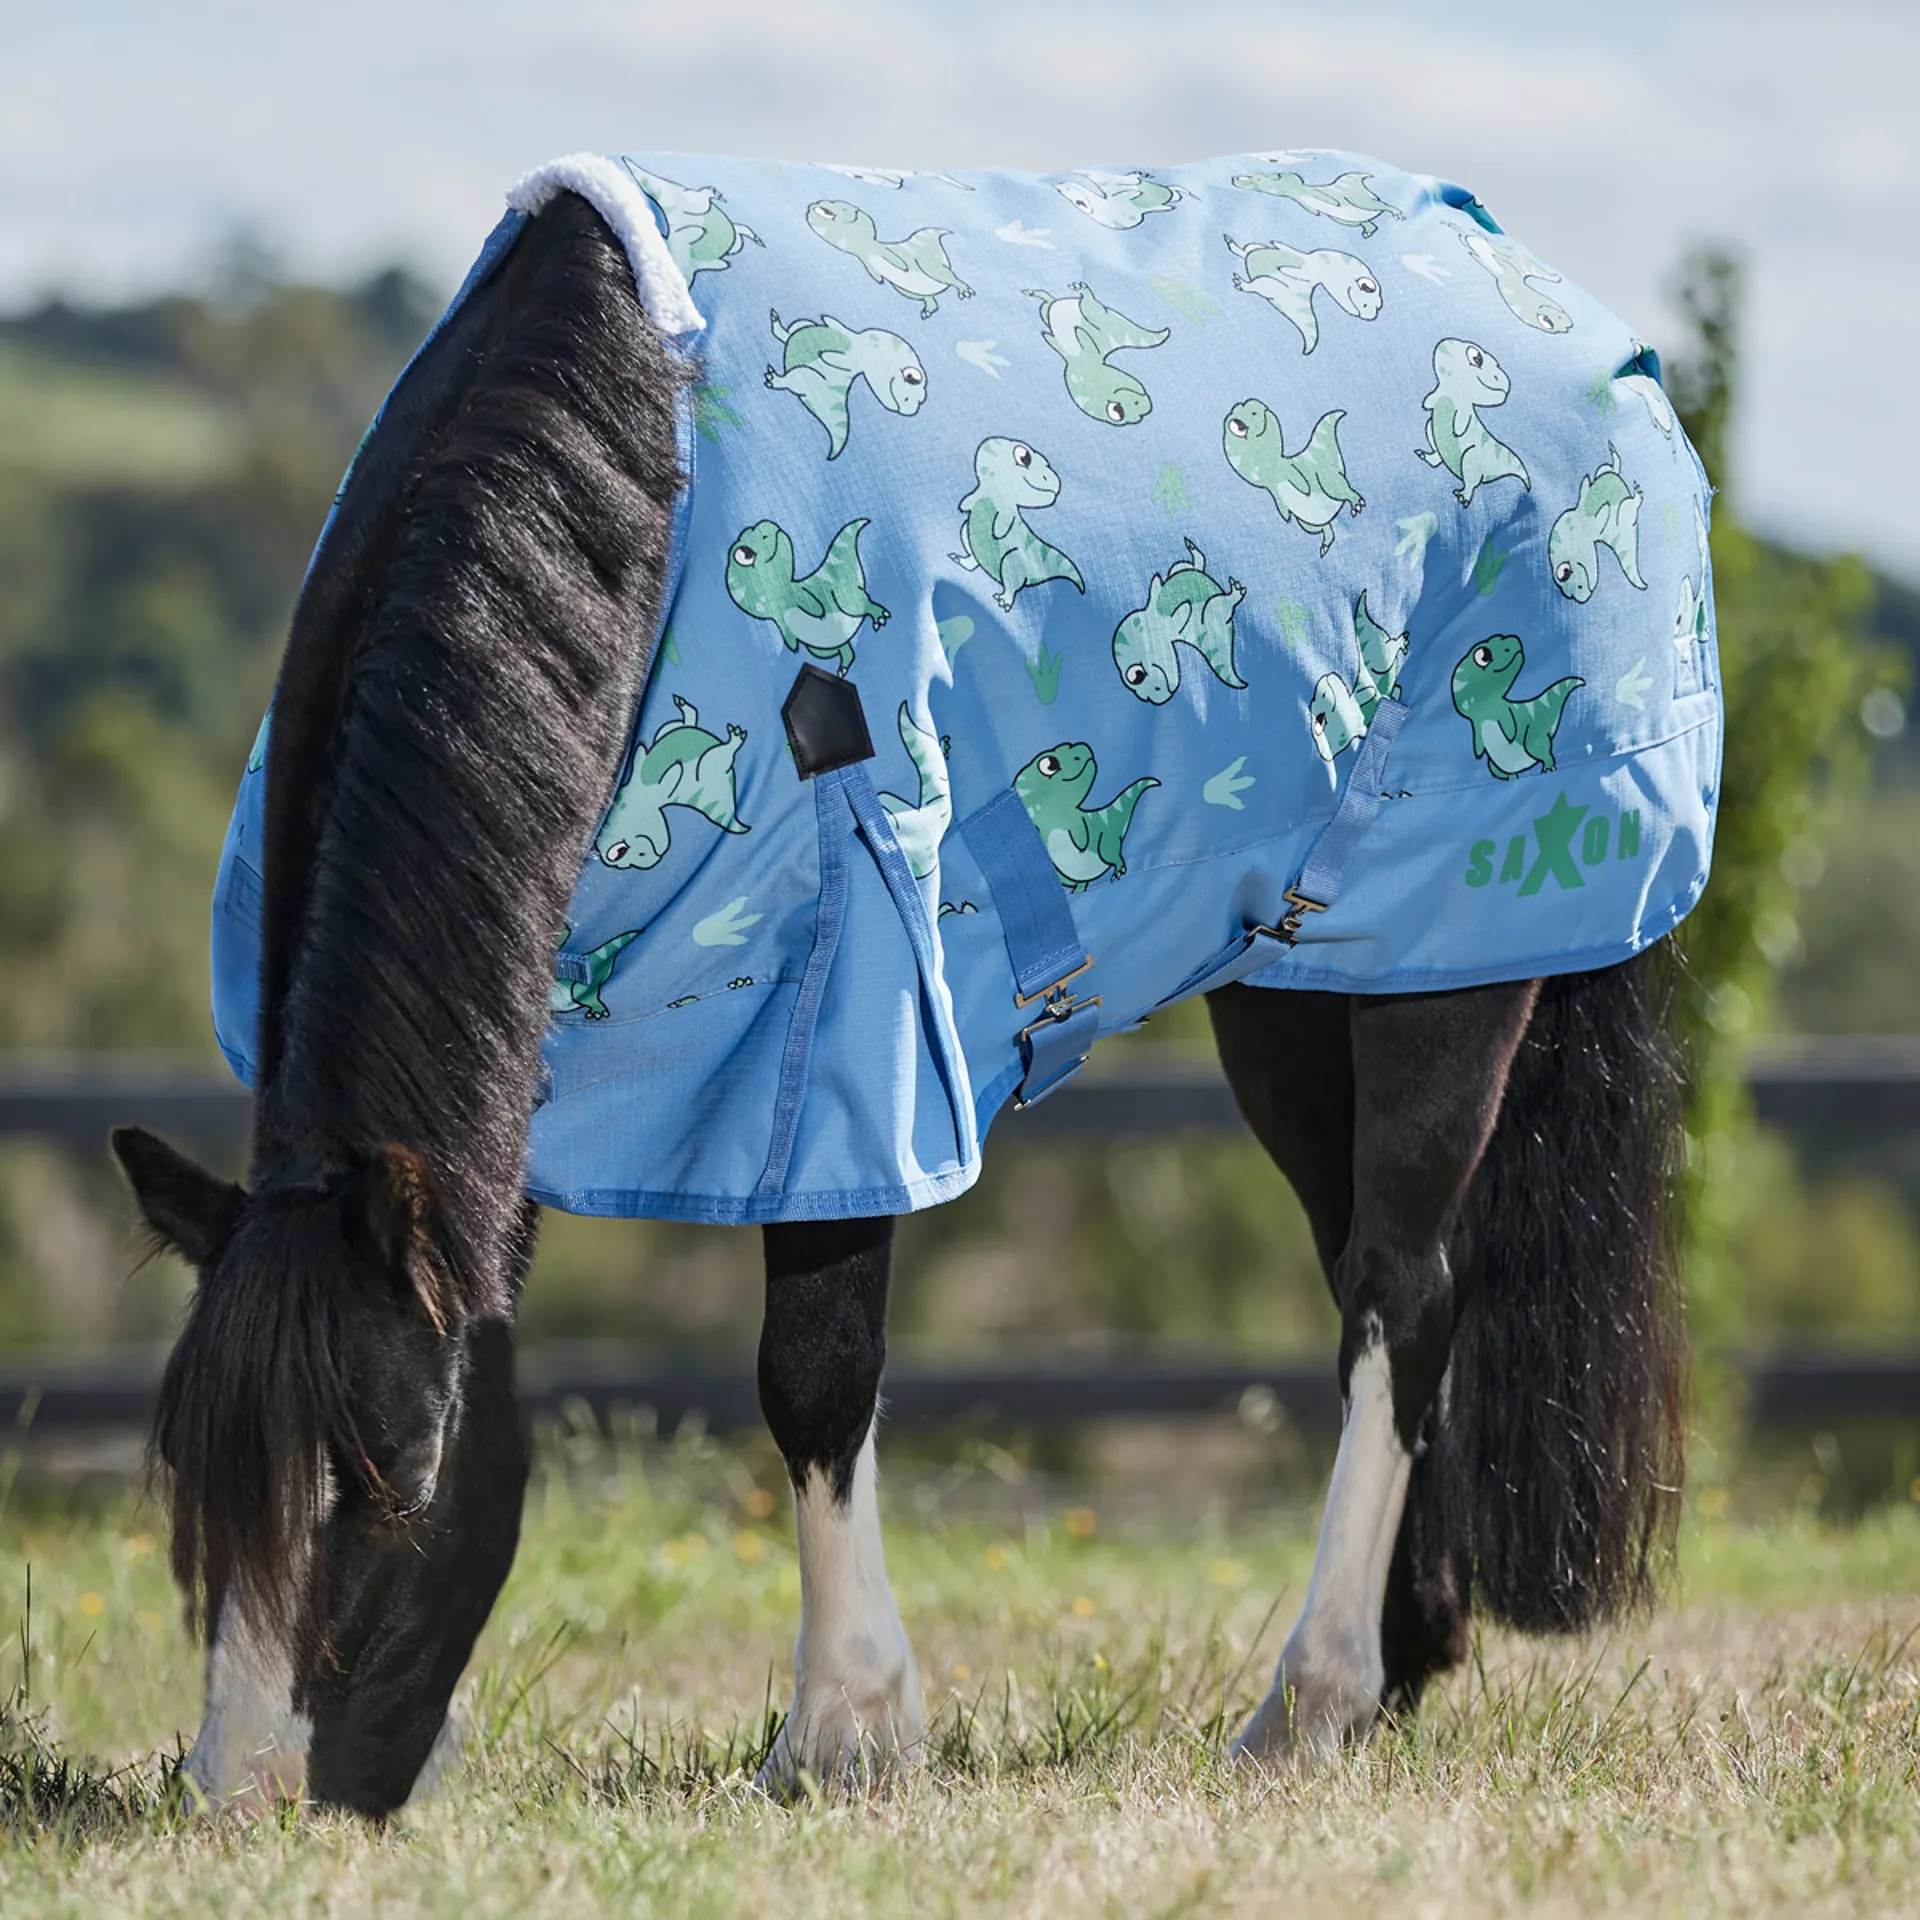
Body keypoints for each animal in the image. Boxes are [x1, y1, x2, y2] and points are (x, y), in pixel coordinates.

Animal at [111, 166, 1695, 1816]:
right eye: (200, 1502)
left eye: (394, 1483)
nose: (239, 1802)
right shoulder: (549, 1051)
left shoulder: (845, 1015)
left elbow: (812, 1373)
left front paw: (842, 1733)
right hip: (1302, 985)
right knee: (1381, 1281)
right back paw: (1404, 1659)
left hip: (1461, 963)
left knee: (1404, 1289)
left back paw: (1311, 1700)